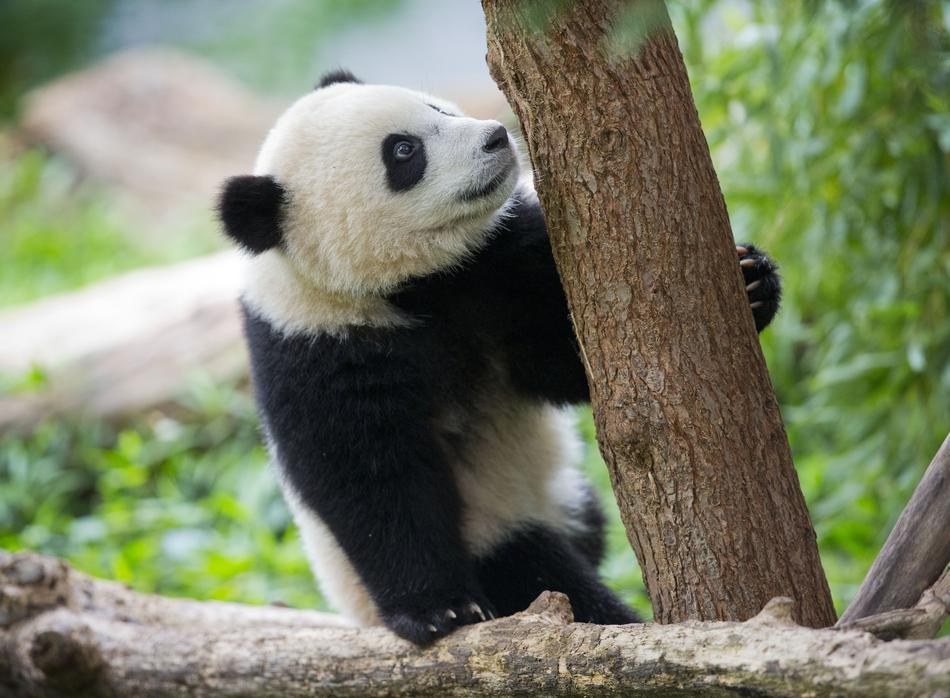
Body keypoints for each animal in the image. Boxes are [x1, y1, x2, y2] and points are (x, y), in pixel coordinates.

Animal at [217, 70, 782, 645]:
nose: (494, 136)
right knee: (537, 574)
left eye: (437, 109)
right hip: (490, 528)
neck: (418, 287)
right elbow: (369, 478)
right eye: (404, 151)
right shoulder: (315, 344)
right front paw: (440, 610)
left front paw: (753, 281)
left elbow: (561, 361)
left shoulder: (498, 262)